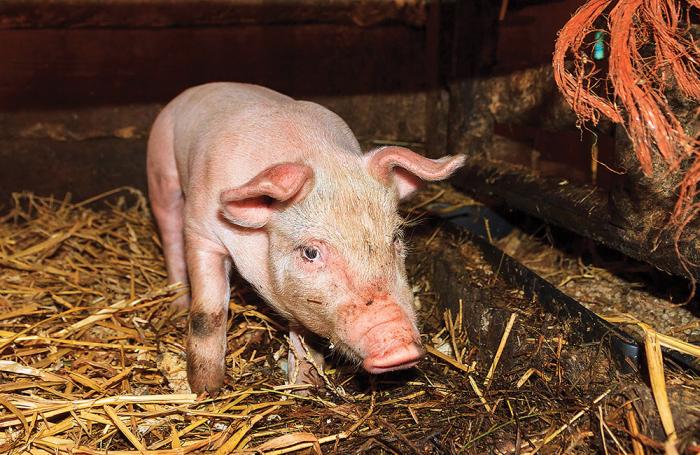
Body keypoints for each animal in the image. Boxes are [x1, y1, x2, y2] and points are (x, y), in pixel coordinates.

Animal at [147, 82, 465, 395]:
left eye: (396, 238)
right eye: (310, 252)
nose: (399, 343)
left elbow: (304, 331)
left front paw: (305, 387)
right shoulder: (201, 231)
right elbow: (208, 313)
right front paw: (206, 390)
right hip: (160, 167)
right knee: (170, 233)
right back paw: (177, 307)